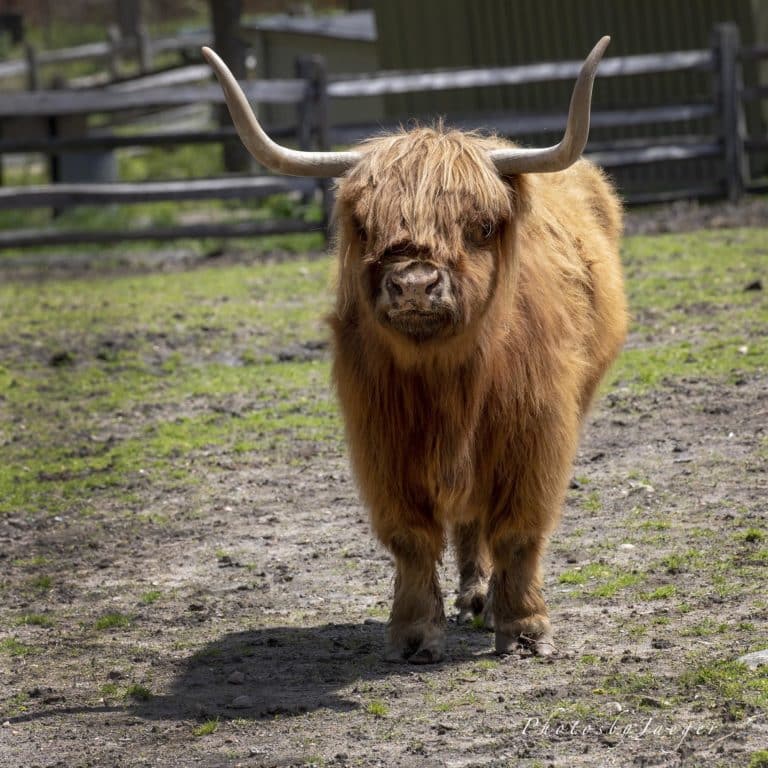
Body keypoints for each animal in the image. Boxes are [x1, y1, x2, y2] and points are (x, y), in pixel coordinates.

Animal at [203, 38, 628, 663]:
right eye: (365, 225)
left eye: (480, 226)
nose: (415, 285)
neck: (450, 376)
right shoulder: (383, 441)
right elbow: (411, 536)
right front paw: (414, 632)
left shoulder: (535, 432)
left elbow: (518, 529)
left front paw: (525, 626)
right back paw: (472, 596)